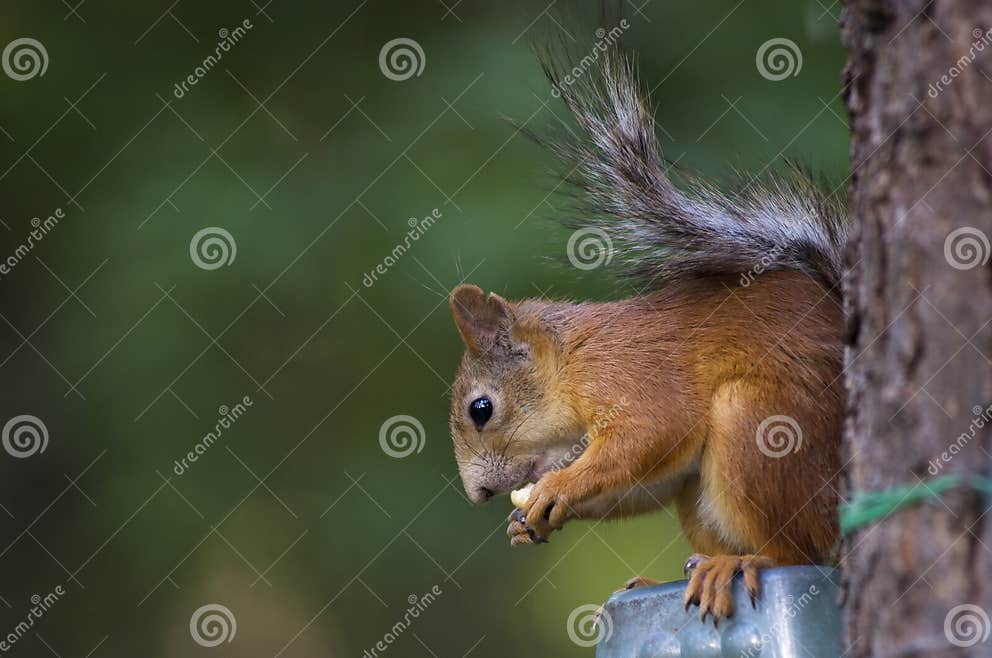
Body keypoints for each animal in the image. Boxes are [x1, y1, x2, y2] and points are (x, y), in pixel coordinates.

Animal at [446, 47, 847, 623]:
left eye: (481, 409)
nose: (478, 494)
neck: (570, 362)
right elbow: (645, 483)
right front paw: (526, 524)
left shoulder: (631, 374)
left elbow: (652, 432)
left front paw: (557, 488)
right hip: (700, 497)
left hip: (760, 425)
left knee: (797, 552)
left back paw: (743, 562)